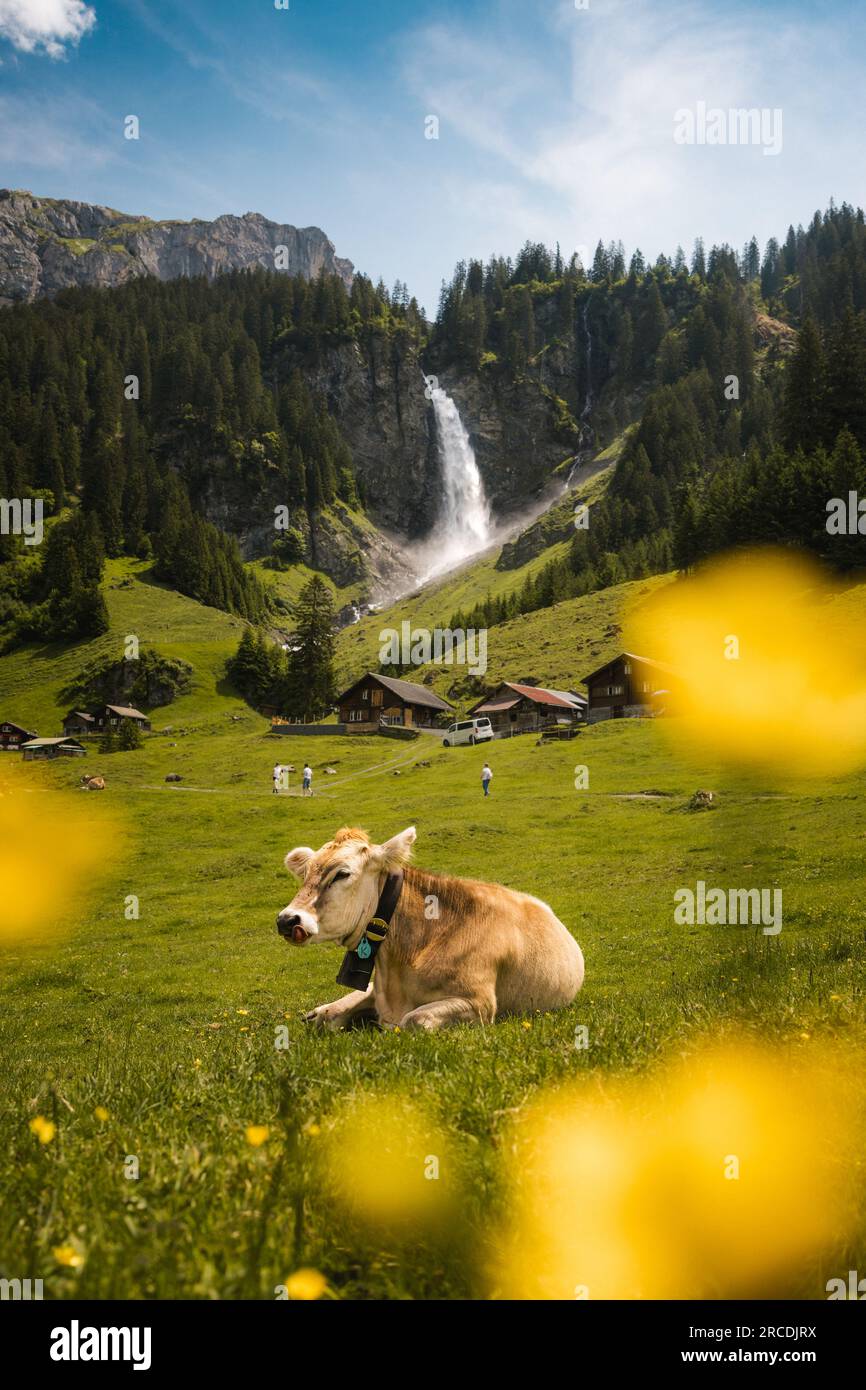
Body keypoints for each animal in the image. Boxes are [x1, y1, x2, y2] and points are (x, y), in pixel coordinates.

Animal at [276, 825, 584, 1032]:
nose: (287, 920)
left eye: (342, 874)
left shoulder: (481, 1003)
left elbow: (414, 1019)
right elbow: (331, 1016)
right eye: (306, 873)